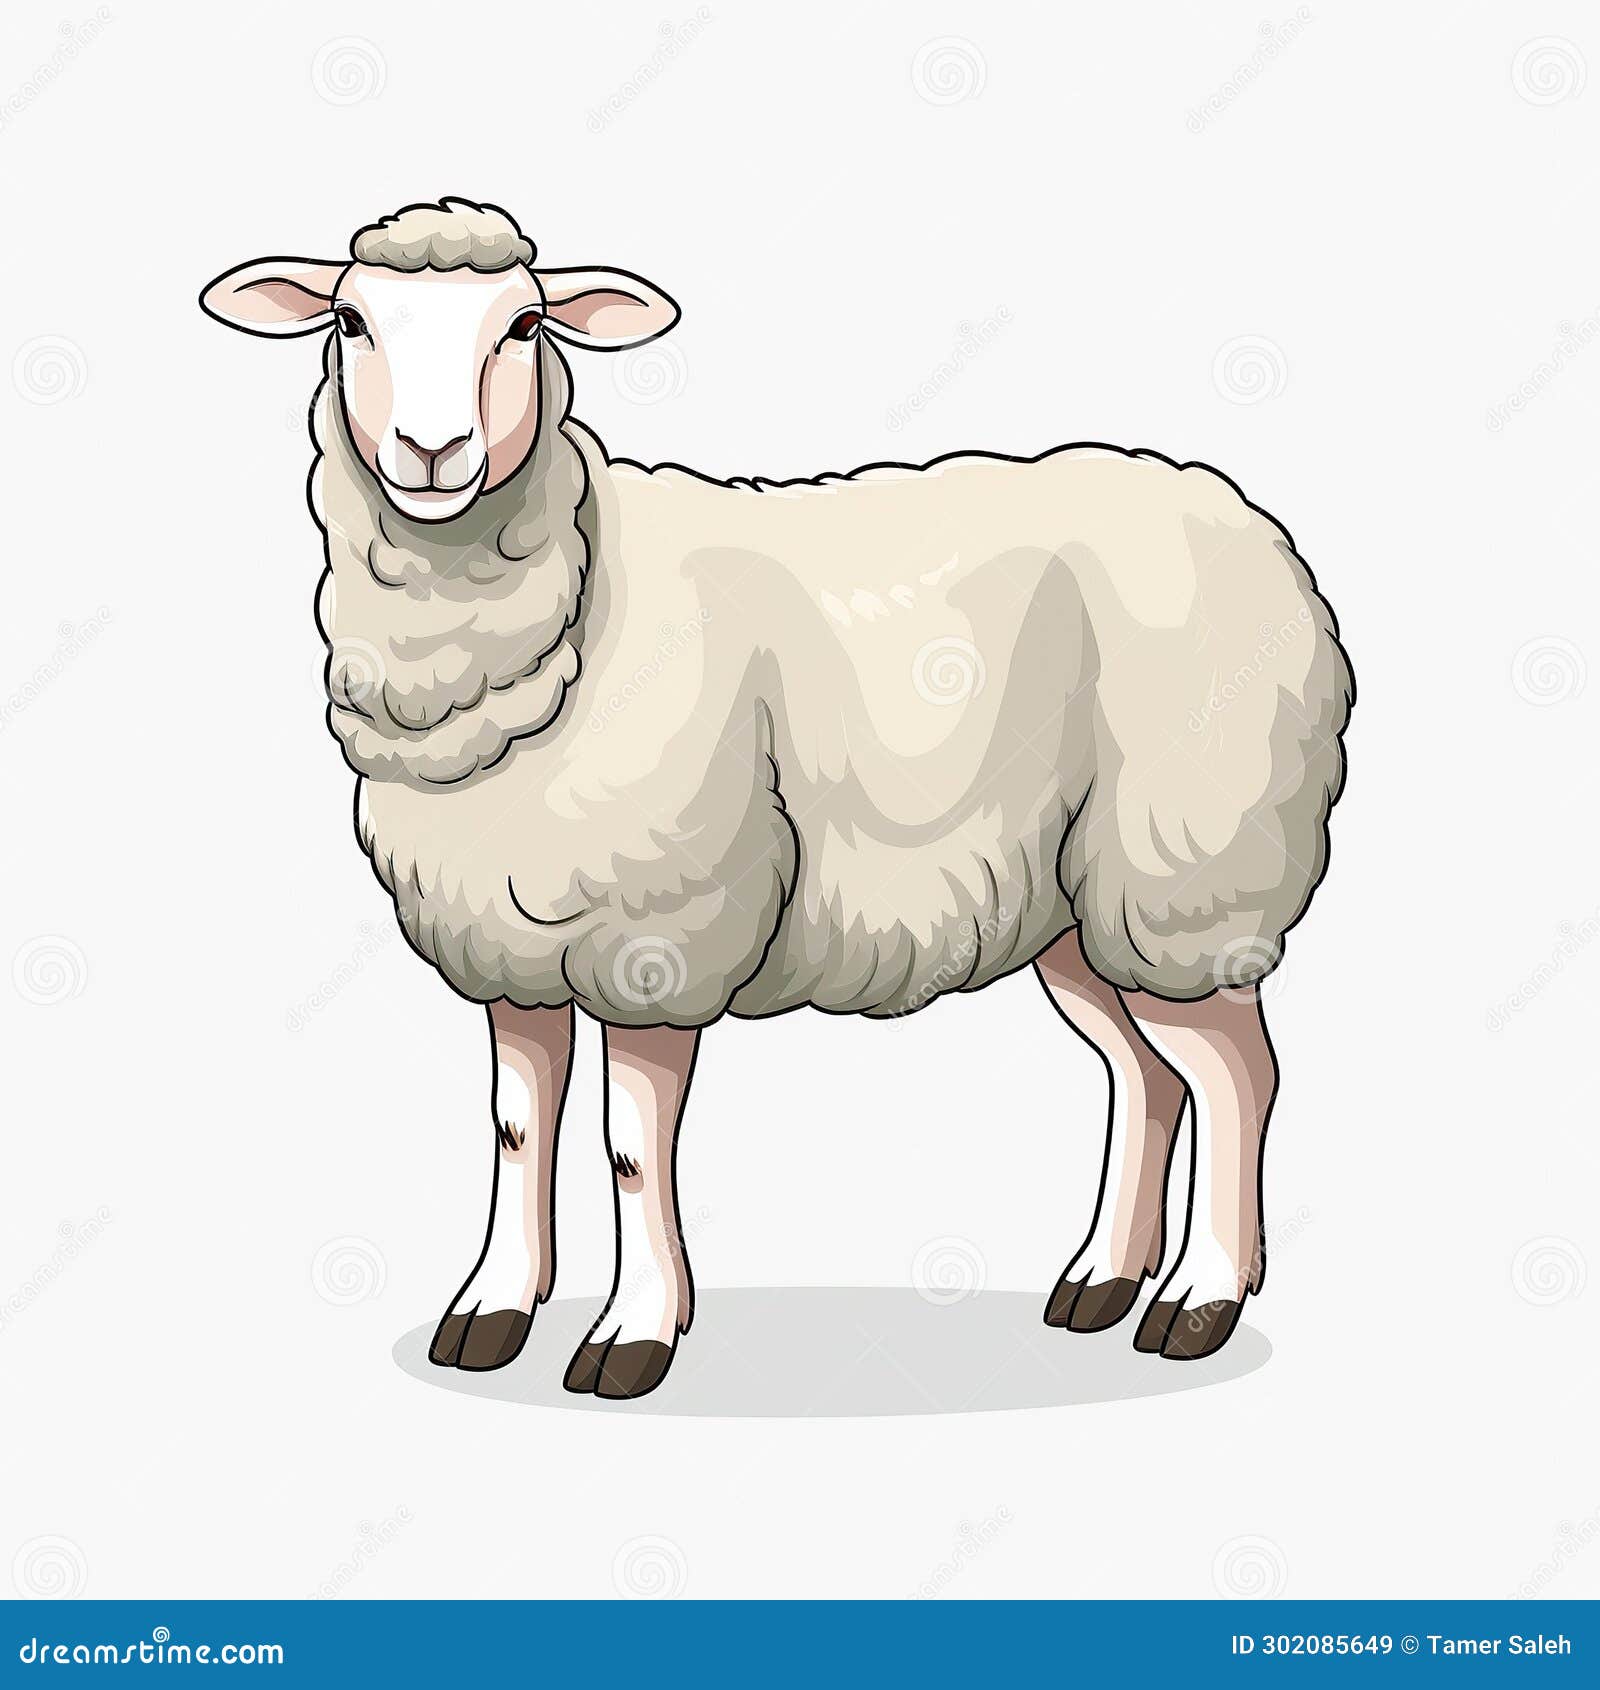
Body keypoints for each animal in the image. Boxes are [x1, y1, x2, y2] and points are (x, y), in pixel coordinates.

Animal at [201, 198, 1353, 1398]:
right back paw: (1099, 1282)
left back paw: (1198, 1299)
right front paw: (492, 1310)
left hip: (1185, 865)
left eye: (524, 325)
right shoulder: (505, 942)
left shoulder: (658, 929)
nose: (432, 454)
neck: (574, 601)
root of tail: (1245, 516)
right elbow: (517, 1130)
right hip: (1075, 901)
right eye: (349, 320)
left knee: (1237, 1075)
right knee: (1145, 1076)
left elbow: (627, 1146)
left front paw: (633, 1333)